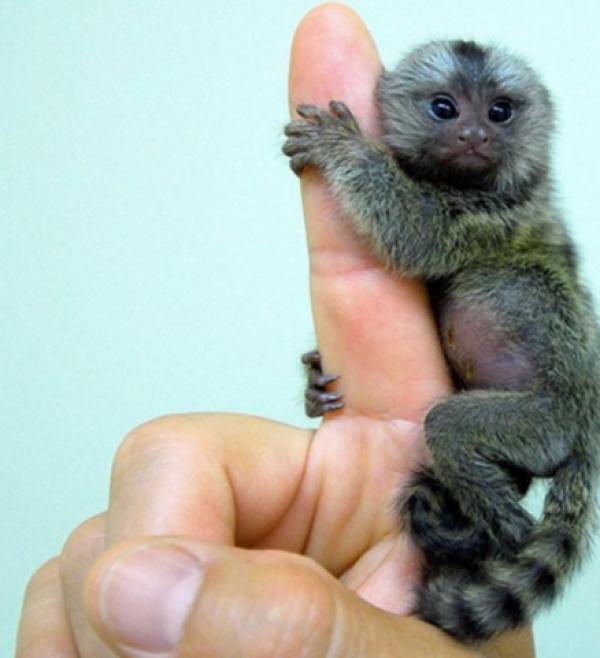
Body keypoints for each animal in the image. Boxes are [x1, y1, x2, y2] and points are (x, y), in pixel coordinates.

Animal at [282, 40, 600, 642]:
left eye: (499, 112)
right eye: (444, 109)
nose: (474, 135)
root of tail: (589, 431)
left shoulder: (498, 212)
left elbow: (416, 233)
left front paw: (344, 148)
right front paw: (312, 382)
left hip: (546, 423)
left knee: (451, 424)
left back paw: (501, 525)